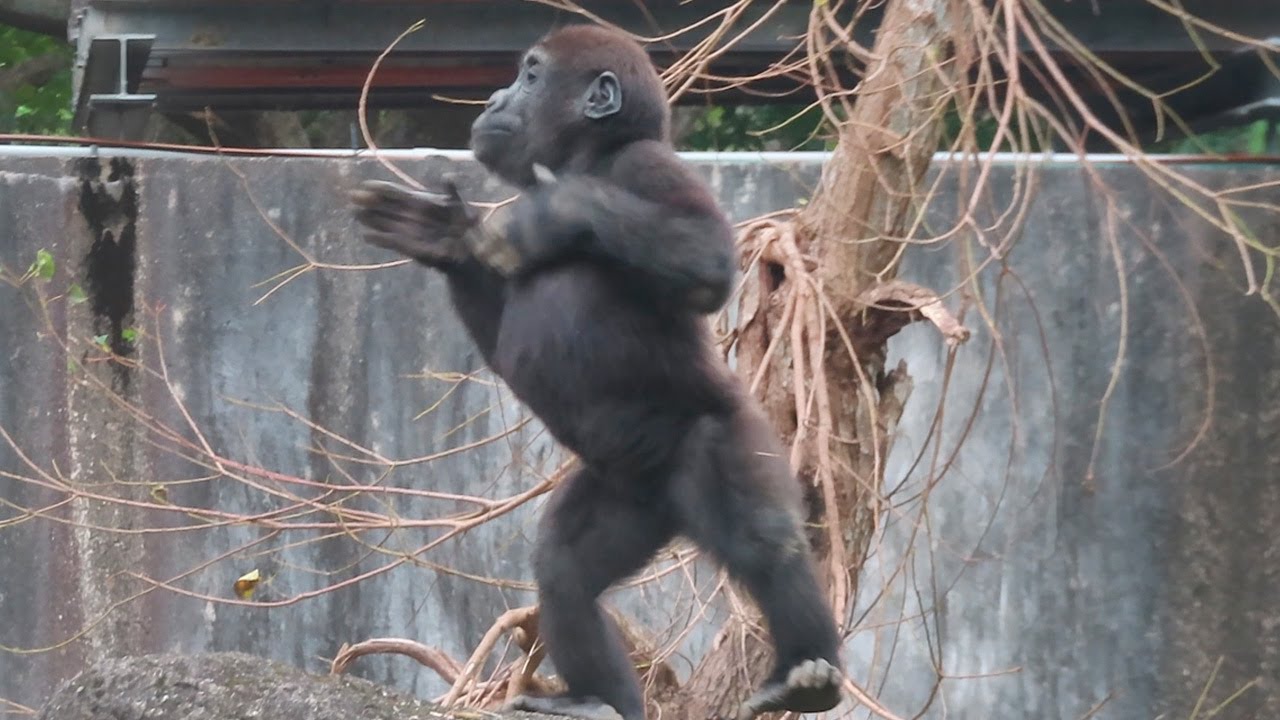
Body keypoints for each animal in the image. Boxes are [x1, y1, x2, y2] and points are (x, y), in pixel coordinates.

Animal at [351, 23, 844, 720]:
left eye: (531, 77)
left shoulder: (650, 168)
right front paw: (443, 237)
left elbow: (705, 255)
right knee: (566, 569)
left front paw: (552, 214)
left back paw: (808, 671)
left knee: (762, 539)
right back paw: (595, 698)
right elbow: (500, 331)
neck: (589, 158)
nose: (497, 97)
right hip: (629, 490)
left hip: (720, 432)